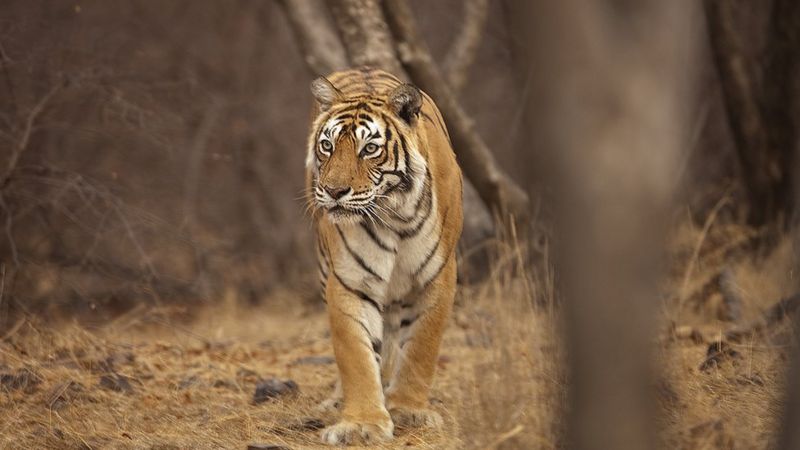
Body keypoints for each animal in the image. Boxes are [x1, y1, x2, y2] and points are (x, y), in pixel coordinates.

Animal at [305, 67, 463, 445]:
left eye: (370, 149)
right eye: (327, 145)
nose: (333, 191)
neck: (395, 216)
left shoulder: (437, 278)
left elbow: (421, 347)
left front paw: (409, 410)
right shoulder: (350, 280)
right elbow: (355, 354)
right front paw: (361, 423)